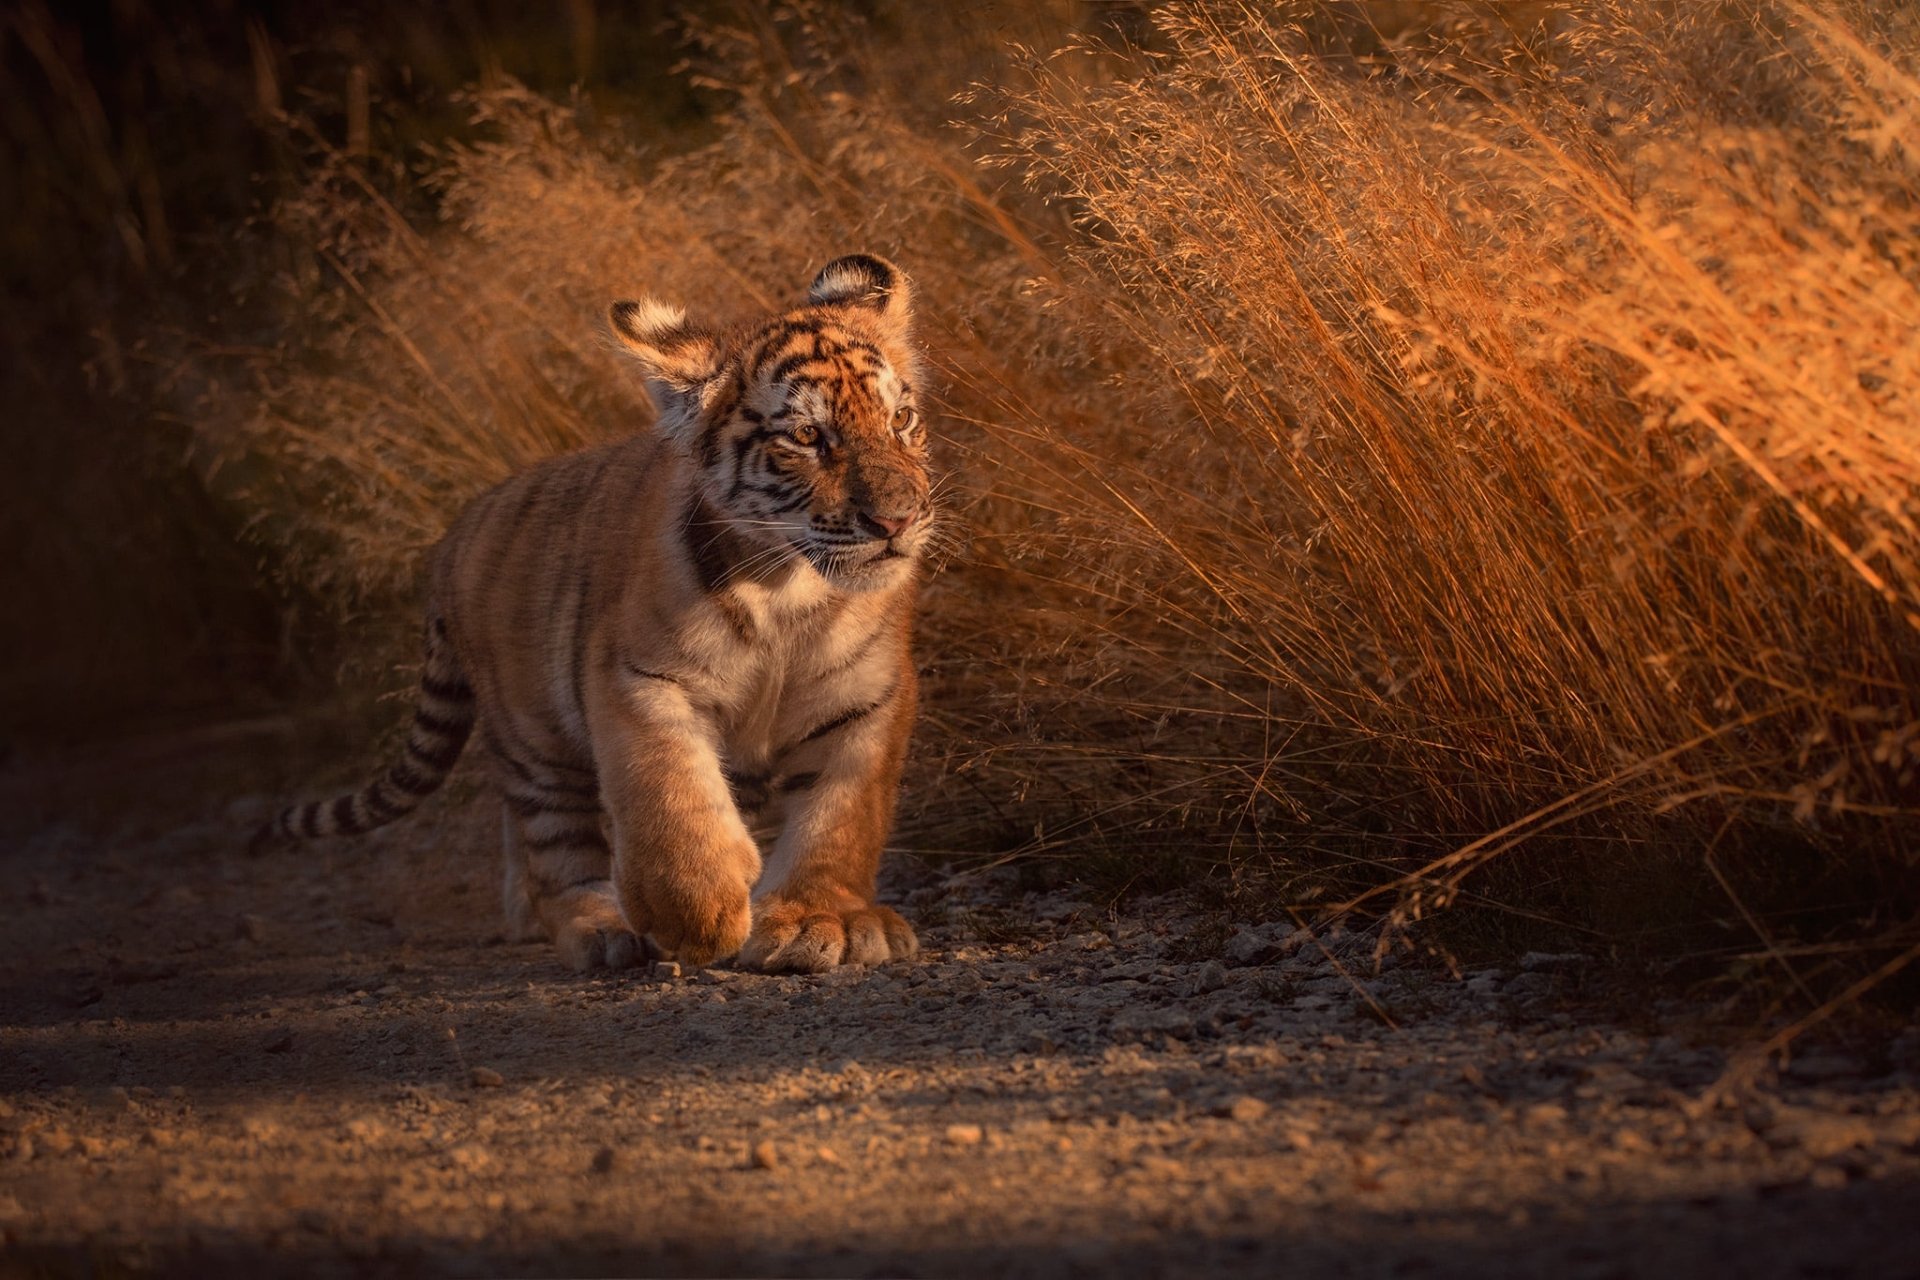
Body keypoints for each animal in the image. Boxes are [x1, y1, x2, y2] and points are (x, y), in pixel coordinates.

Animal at [262, 254, 932, 975]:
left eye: (901, 419)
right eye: (808, 436)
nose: (897, 521)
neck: (788, 590)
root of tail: (451, 541)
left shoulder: (866, 700)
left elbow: (839, 816)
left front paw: (820, 919)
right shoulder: (637, 680)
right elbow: (670, 796)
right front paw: (700, 916)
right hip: (535, 746)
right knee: (557, 851)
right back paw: (601, 930)